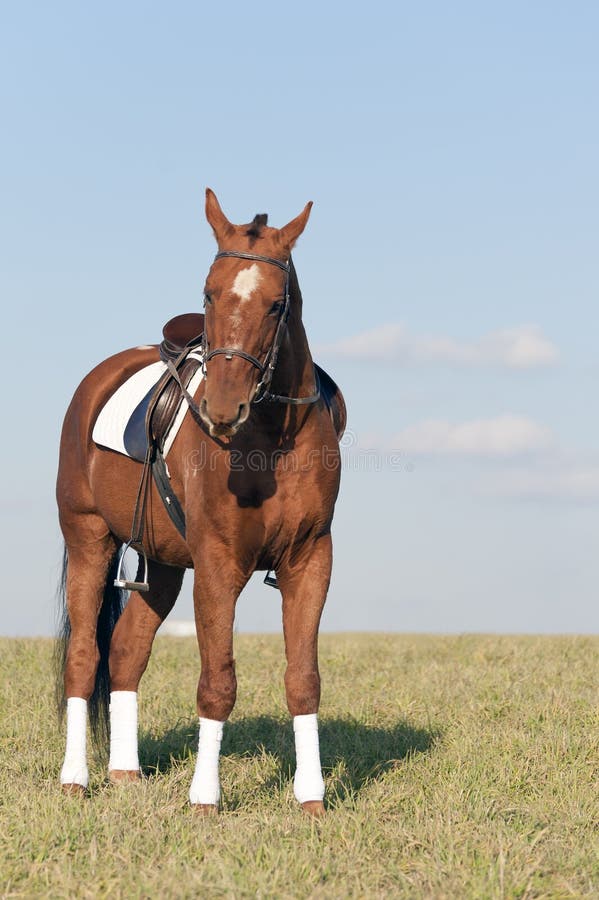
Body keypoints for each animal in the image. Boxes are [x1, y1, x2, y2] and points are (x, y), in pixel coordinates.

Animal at [55, 189, 345, 816]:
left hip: (161, 564)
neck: (270, 439)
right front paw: (204, 799)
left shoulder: (310, 559)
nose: (221, 408)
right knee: (84, 657)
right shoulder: (219, 563)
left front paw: (311, 798)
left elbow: (303, 679)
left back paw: (125, 771)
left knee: (127, 650)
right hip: (89, 538)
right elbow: (218, 682)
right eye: (209, 292)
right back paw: (75, 779)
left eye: (277, 303)